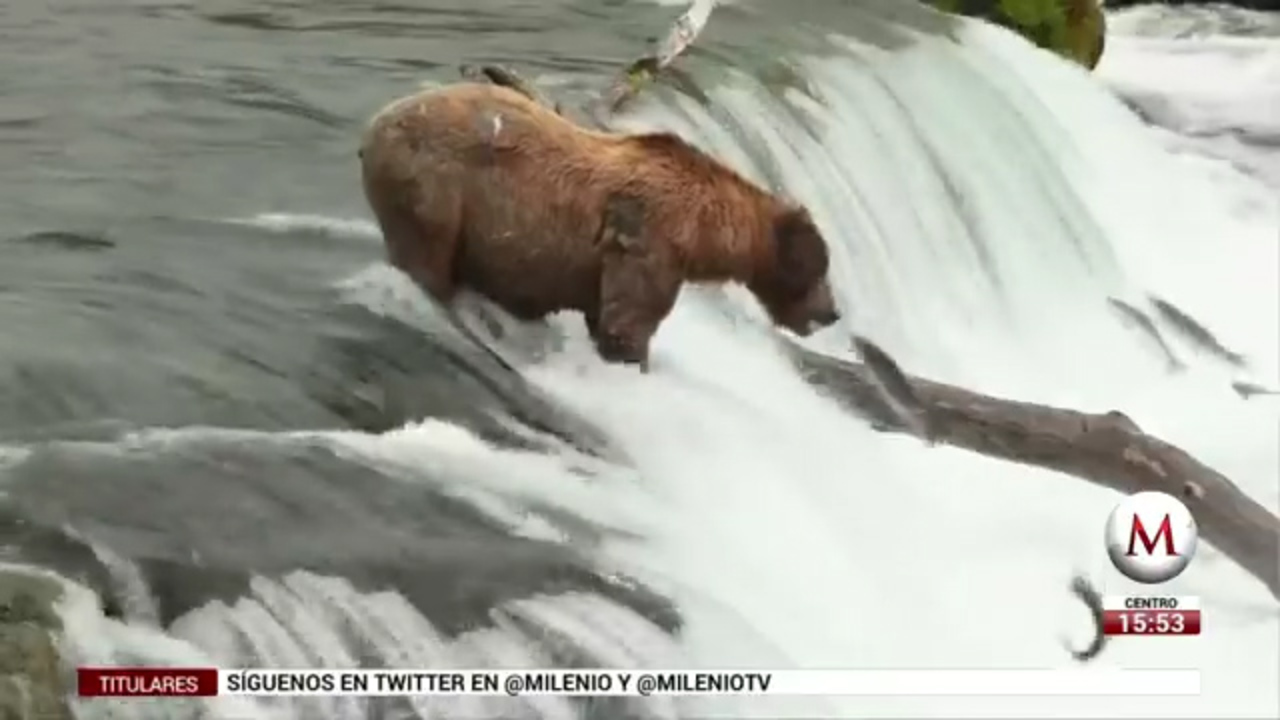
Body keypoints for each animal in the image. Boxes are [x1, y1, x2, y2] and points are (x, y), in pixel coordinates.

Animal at [357, 81, 841, 371]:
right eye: (821, 269)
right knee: (427, 258)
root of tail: (374, 123)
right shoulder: (648, 240)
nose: (832, 312)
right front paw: (633, 358)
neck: (704, 232)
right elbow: (628, 321)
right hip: (434, 190)